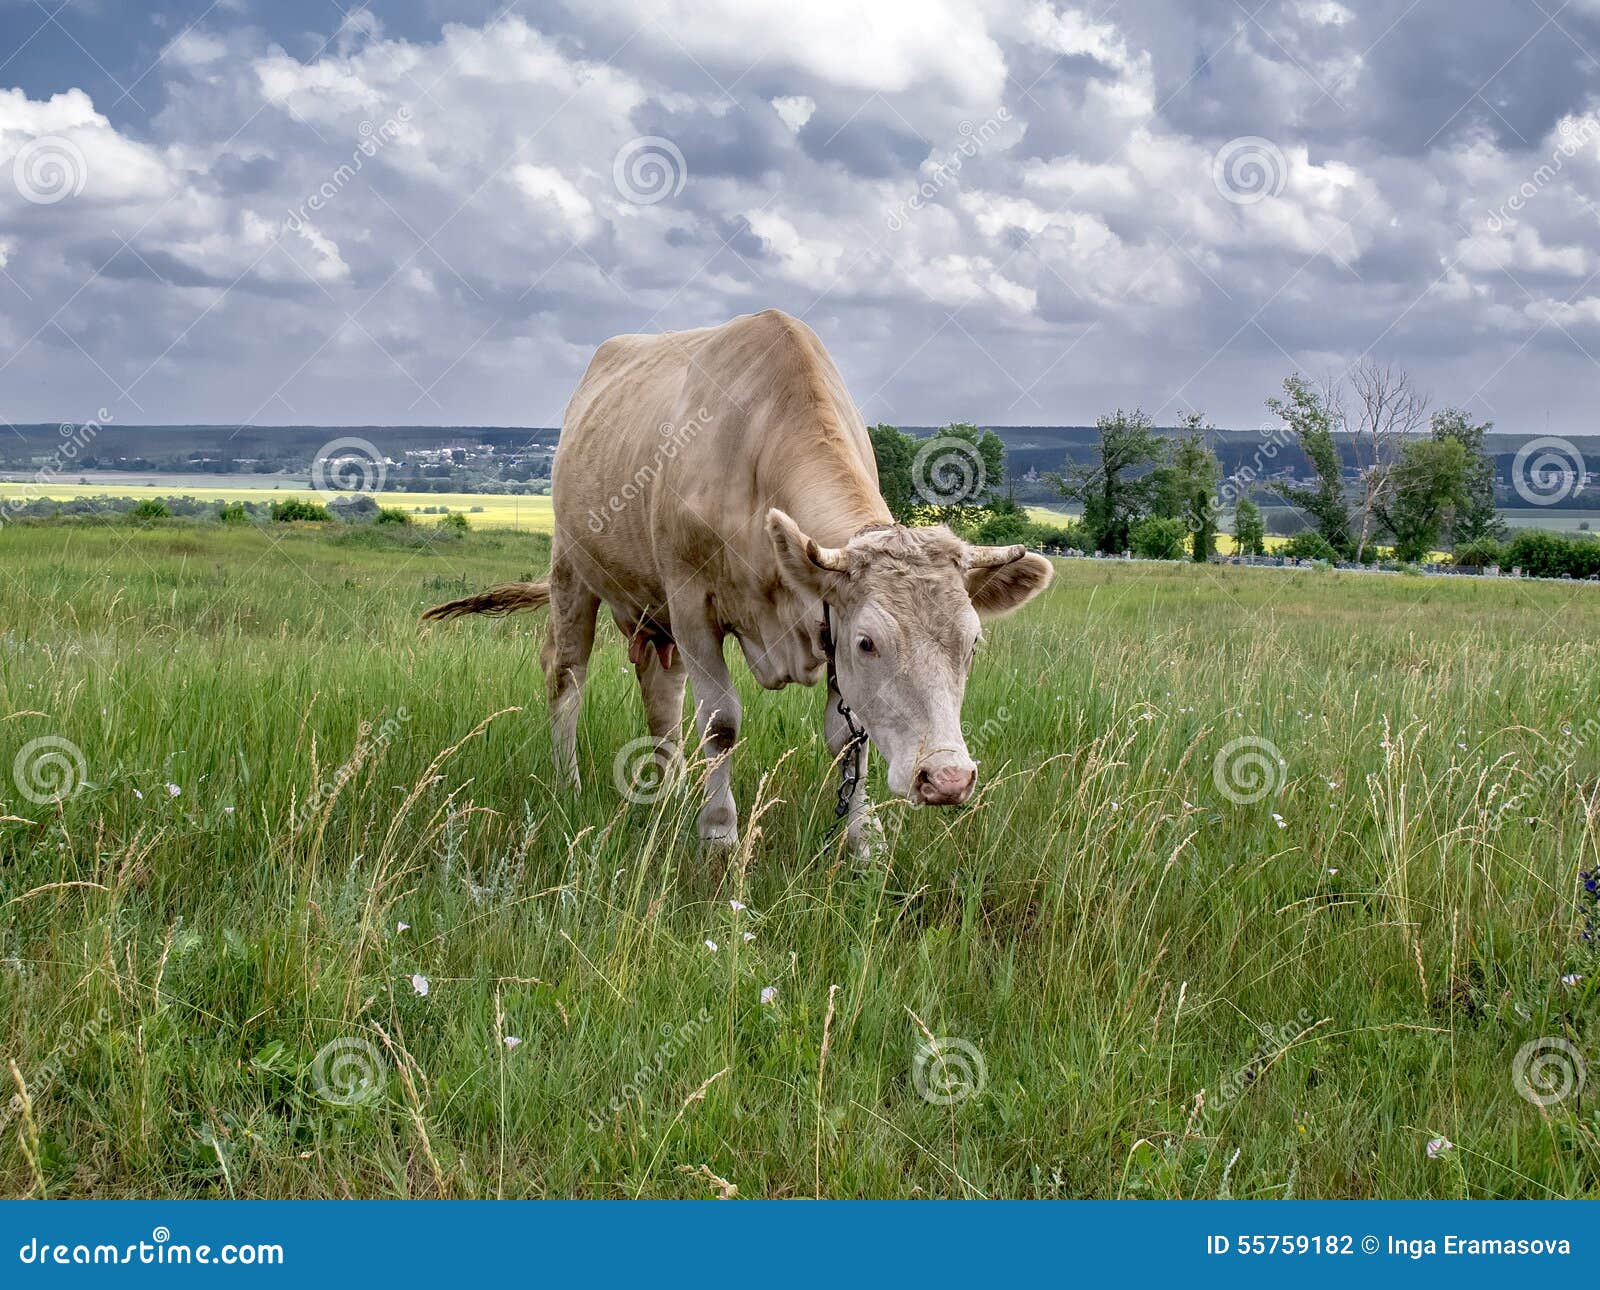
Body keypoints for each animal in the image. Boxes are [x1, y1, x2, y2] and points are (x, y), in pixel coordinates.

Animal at [422, 309, 1052, 852]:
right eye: (868, 642)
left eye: (973, 642)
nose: (947, 778)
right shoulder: (692, 602)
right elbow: (721, 723)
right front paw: (719, 832)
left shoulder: (819, 621)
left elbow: (847, 738)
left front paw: (862, 840)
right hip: (573, 568)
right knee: (567, 676)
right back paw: (570, 785)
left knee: (663, 696)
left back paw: (671, 790)